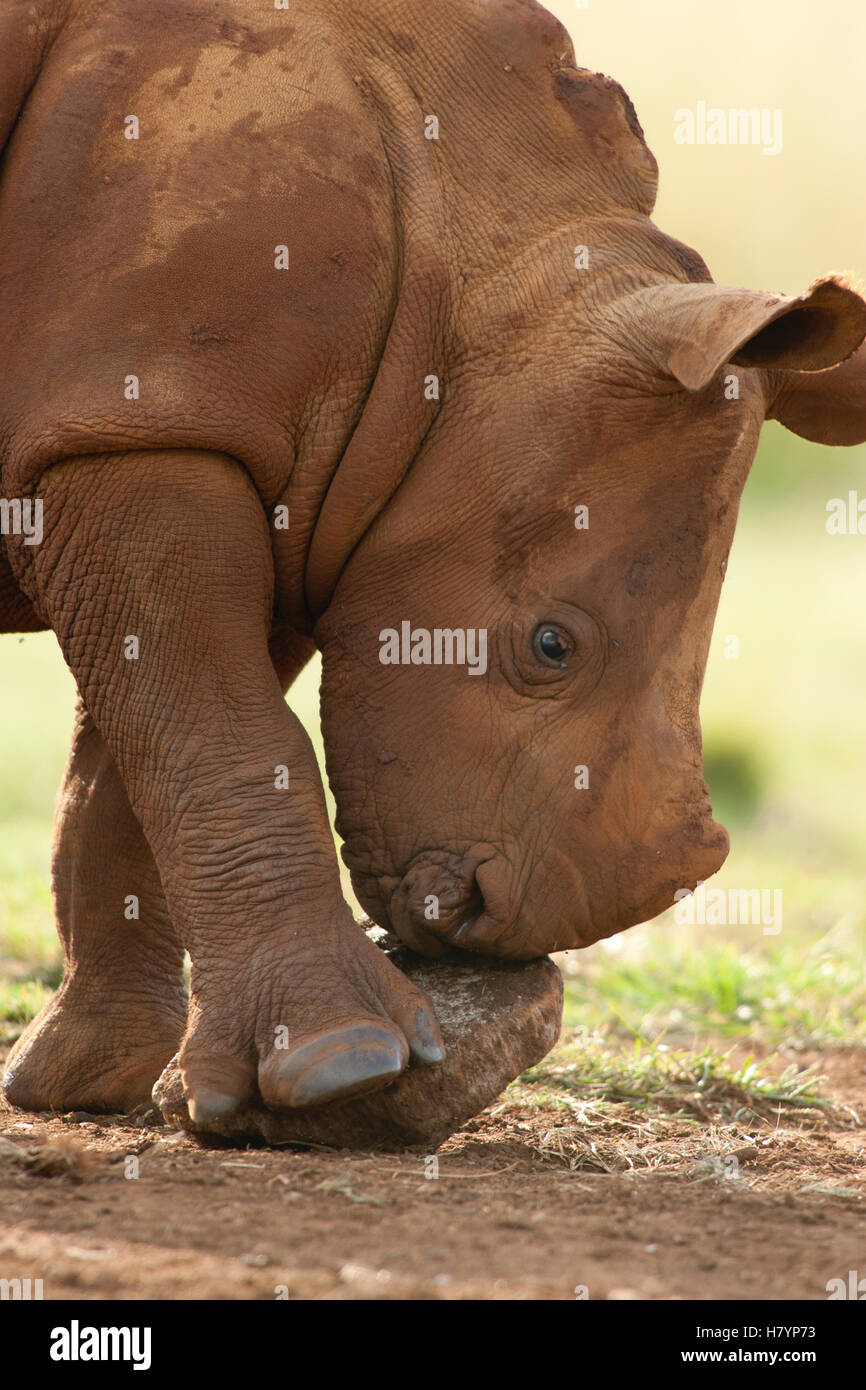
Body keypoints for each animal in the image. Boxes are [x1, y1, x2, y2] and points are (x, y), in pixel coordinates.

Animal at [2, 0, 865, 1127]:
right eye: (549, 645)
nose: (510, 917)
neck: (467, 269)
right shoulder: (136, 418)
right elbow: (217, 725)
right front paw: (343, 1066)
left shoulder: (273, 470)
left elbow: (137, 754)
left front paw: (88, 1084)